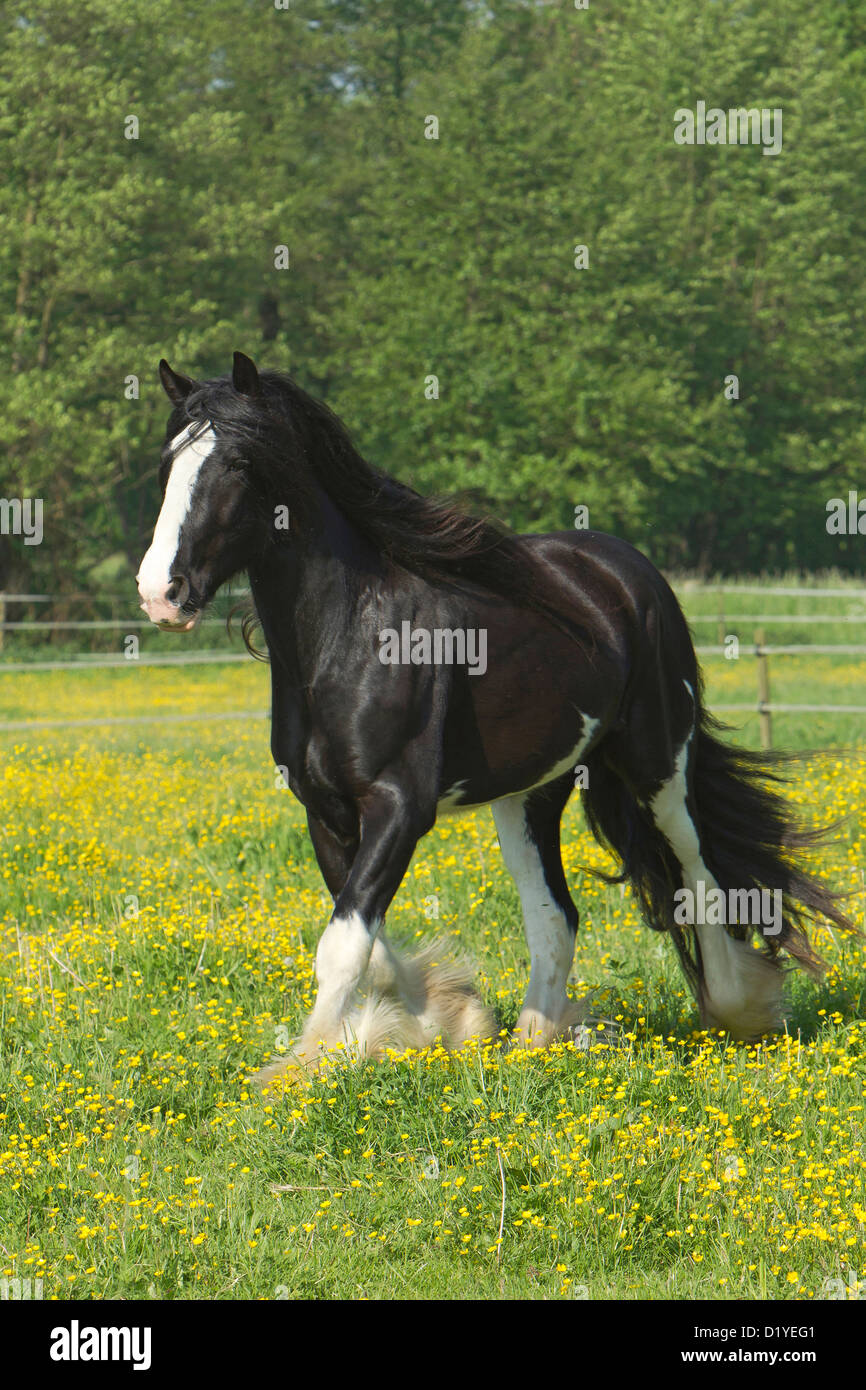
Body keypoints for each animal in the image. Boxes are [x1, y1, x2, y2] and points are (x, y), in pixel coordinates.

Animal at [136, 351, 853, 1075]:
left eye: (239, 464)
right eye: (168, 463)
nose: (160, 593)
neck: (349, 637)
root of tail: (627, 572)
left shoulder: (399, 805)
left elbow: (342, 948)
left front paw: (306, 1070)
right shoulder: (326, 811)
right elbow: (368, 942)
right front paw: (444, 1018)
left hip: (658, 764)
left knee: (698, 872)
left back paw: (738, 1009)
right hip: (530, 793)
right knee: (557, 915)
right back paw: (536, 1039)